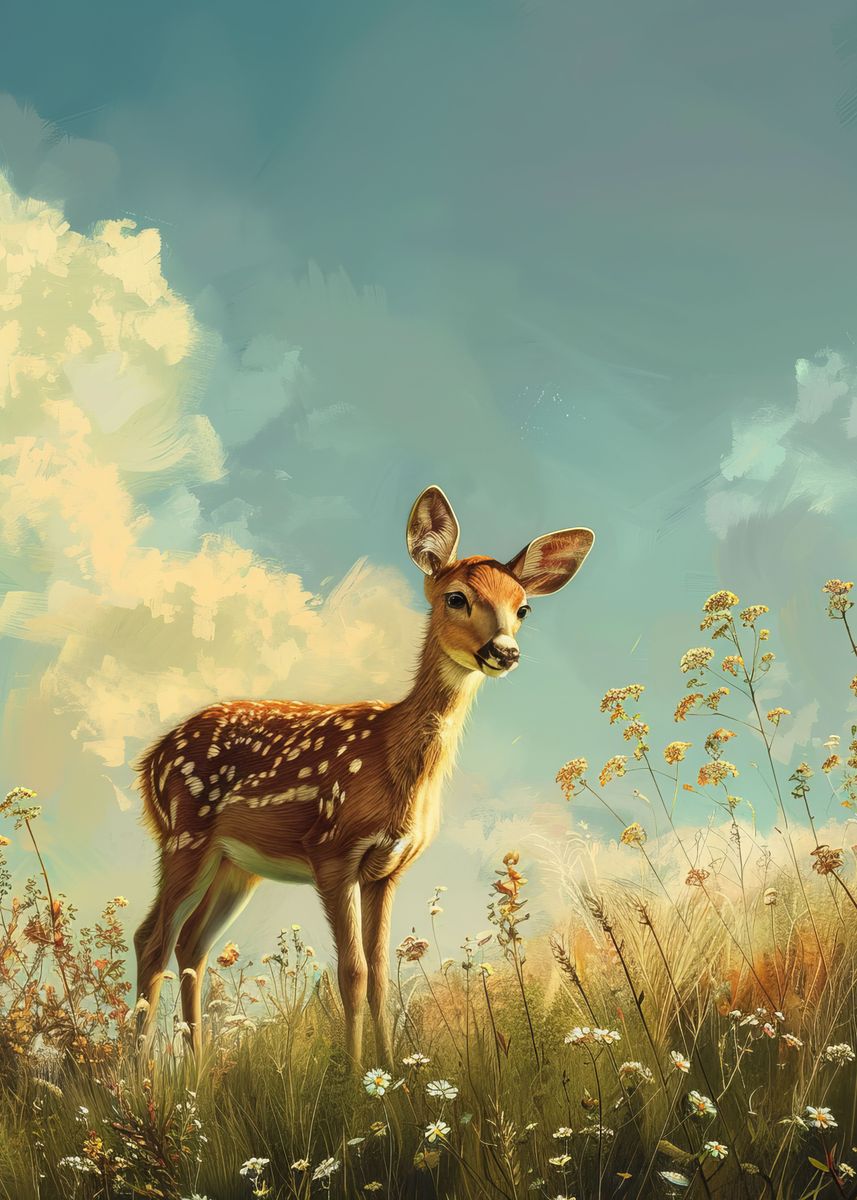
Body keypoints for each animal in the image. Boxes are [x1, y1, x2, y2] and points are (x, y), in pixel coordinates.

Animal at [133, 486, 594, 1064]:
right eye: (457, 597)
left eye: (523, 608)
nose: (504, 652)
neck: (392, 761)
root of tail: (150, 759)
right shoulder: (331, 851)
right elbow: (350, 974)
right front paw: (354, 1077)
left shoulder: (386, 869)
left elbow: (379, 977)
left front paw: (392, 1071)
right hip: (184, 835)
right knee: (152, 939)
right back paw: (132, 1073)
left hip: (235, 862)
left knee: (191, 943)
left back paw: (196, 1072)